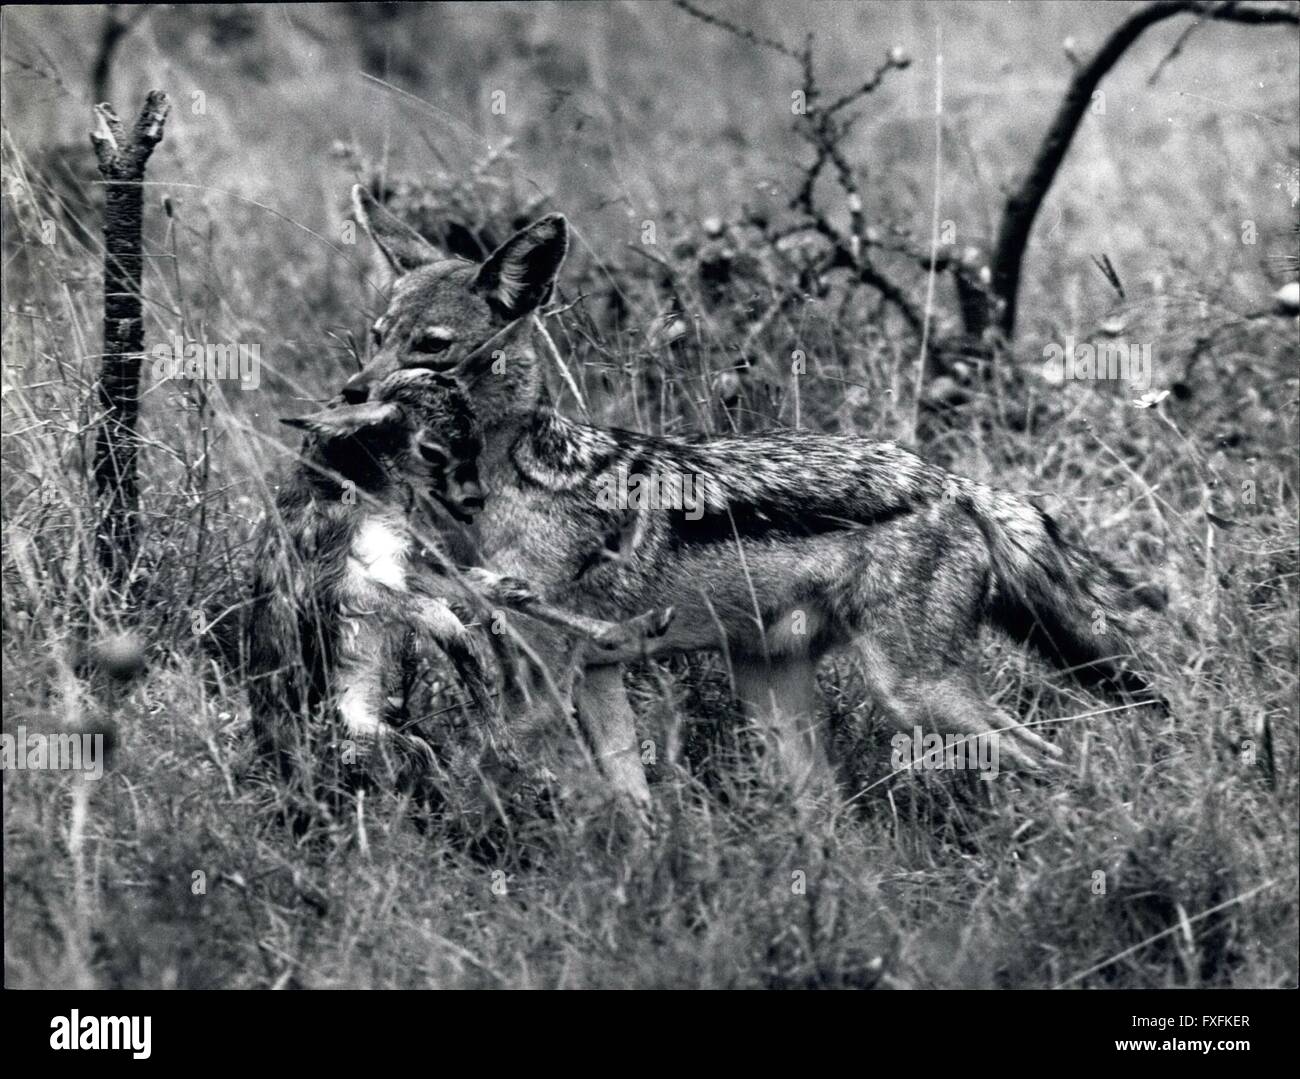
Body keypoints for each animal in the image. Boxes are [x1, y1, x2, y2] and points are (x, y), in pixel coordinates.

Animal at [246, 364, 673, 797]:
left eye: (478, 441)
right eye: (432, 449)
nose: (473, 499)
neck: (355, 484)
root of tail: (274, 759)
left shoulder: (408, 566)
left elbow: (503, 591)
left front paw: (639, 625)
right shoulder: (335, 581)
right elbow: (444, 622)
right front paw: (515, 755)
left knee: (421, 759)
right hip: (361, 737)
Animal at [340, 186, 1165, 810]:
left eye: (430, 349)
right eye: (376, 338)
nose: (350, 393)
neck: (503, 487)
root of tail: (953, 482)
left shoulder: (542, 677)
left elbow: (488, 773)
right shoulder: (598, 672)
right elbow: (631, 800)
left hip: (916, 694)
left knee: (1055, 757)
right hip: (780, 697)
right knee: (833, 811)